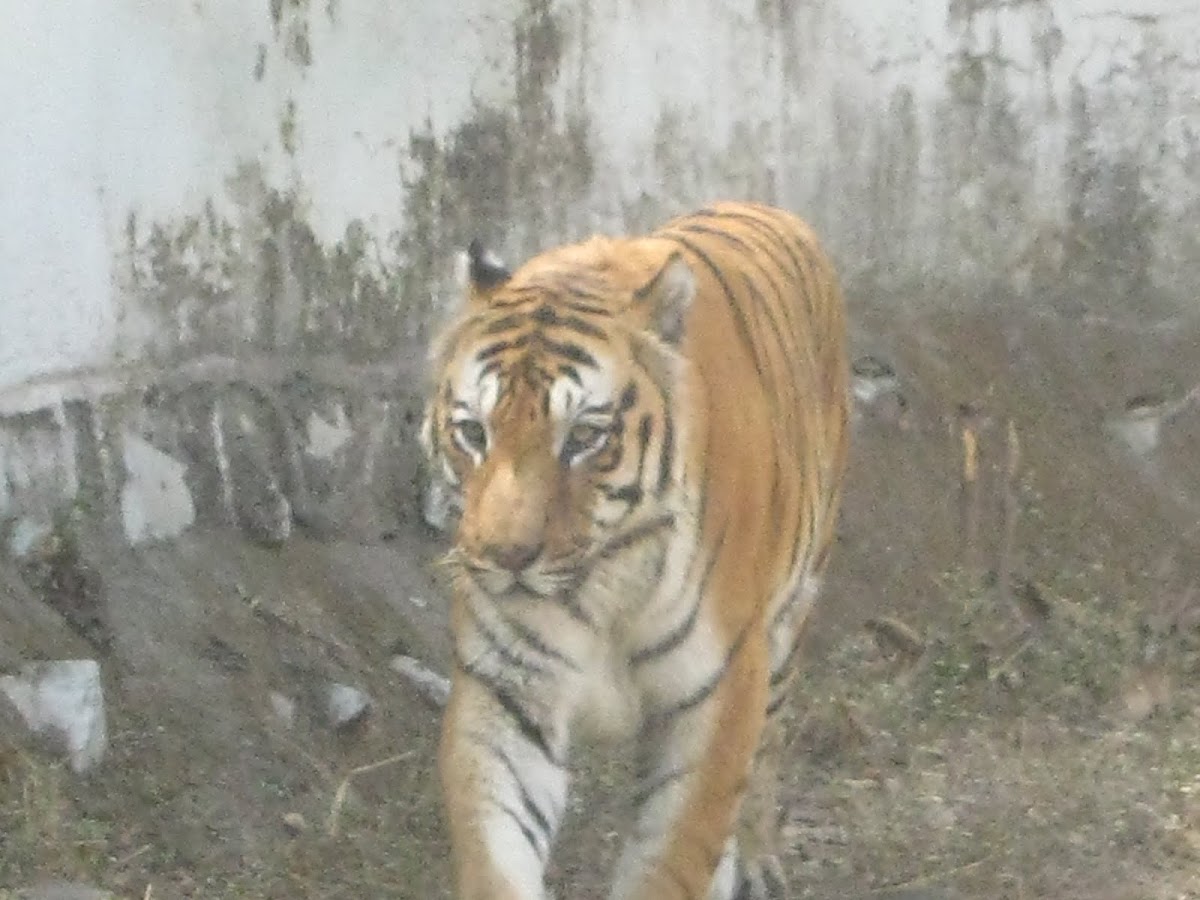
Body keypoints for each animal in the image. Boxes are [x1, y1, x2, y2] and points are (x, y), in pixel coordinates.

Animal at [419, 201, 850, 900]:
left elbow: (674, 857)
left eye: (584, 438)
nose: (504, 557)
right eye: (473, 433)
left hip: (791, 618)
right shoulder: (509, 693)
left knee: (767, 750)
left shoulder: (715, 697)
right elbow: (497, 851)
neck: (605, 585)